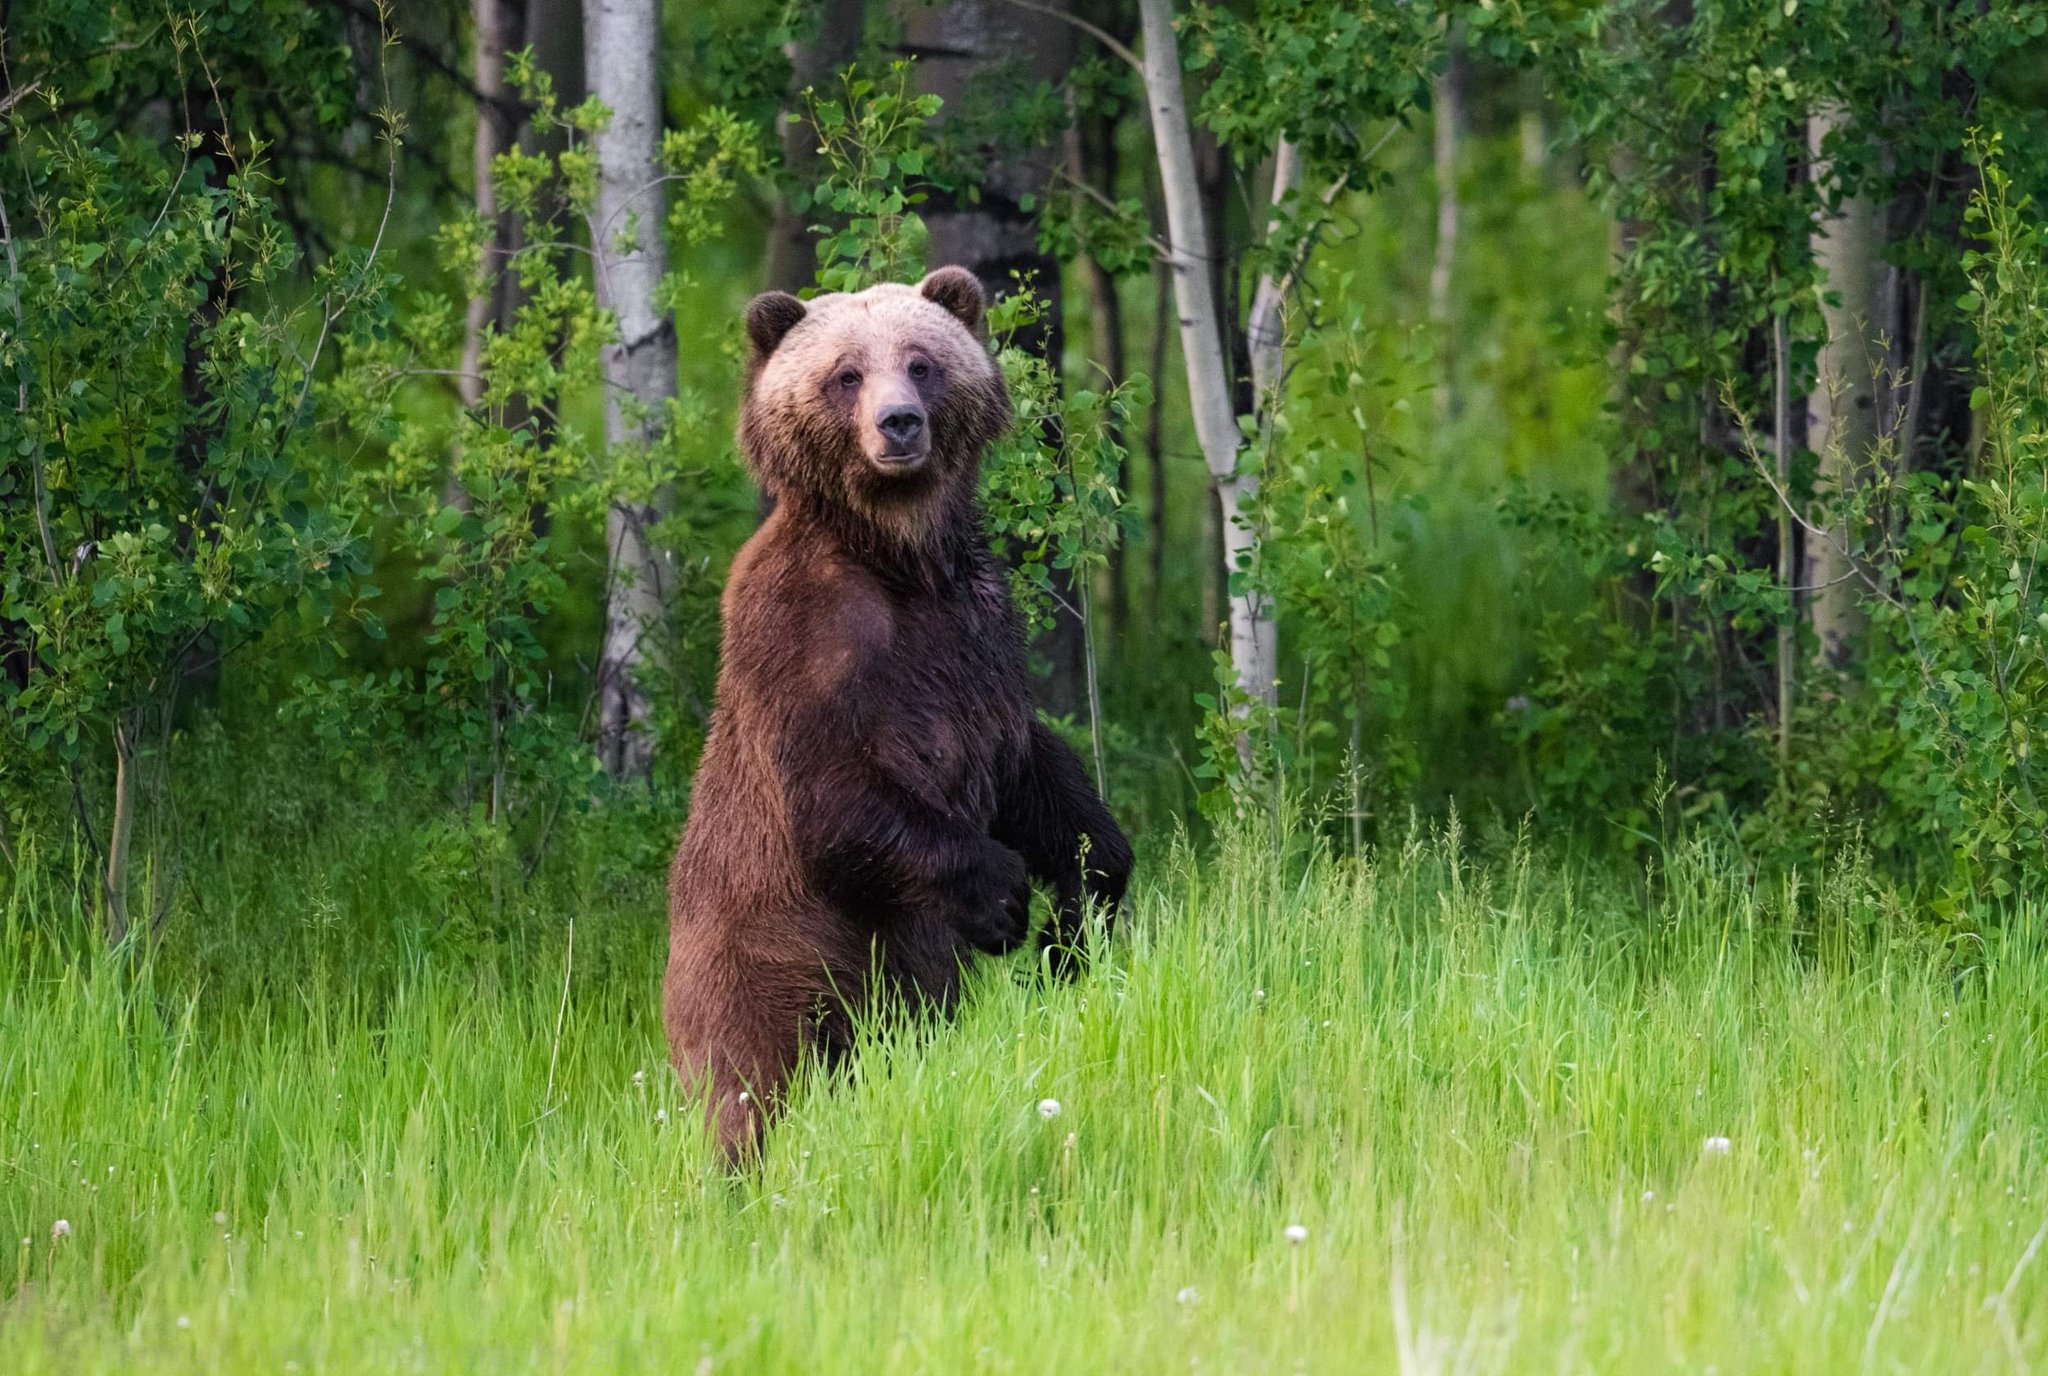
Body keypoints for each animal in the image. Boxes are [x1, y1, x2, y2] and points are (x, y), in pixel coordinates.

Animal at [663, 266, 1133, 1162]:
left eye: (922, 362)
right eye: (845, 373)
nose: (899, 422)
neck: (900, 558)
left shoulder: (979, 629)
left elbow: (1033, 772)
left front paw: (1078, 908)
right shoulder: (800, 638)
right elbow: (834, 799)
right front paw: (1003, 897)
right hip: (771, 953)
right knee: (753, 1080)